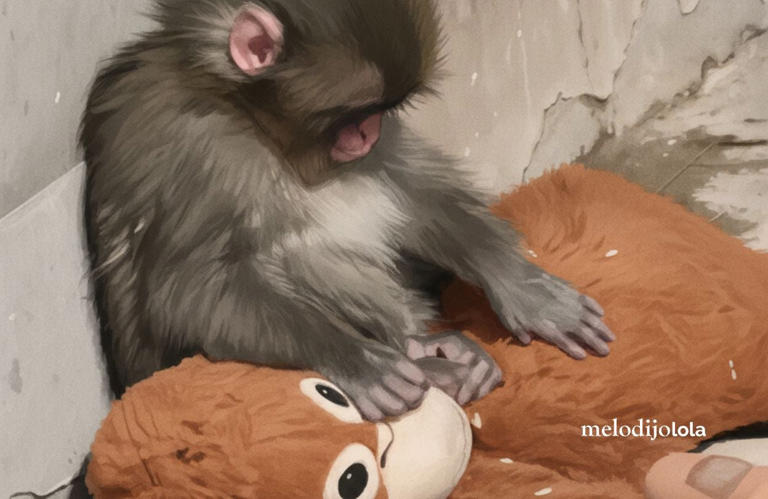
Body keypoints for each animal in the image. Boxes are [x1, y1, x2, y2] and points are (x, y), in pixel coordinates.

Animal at [80, 0, 614, 421]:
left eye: (381, 112)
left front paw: (522, 286)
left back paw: (431, 346)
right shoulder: (191, 145)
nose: (369, 134)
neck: (242, 111)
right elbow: (187, 289)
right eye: (354, 114)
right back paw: (424, 358)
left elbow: (408, 186)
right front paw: (358, 359)